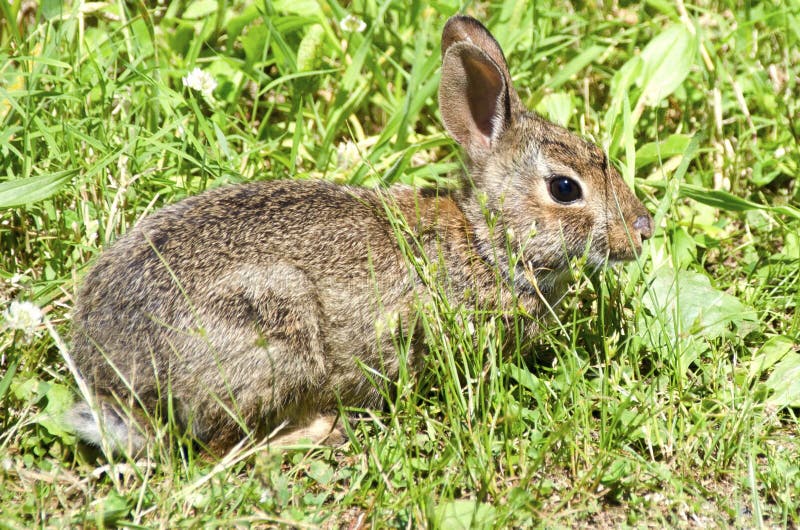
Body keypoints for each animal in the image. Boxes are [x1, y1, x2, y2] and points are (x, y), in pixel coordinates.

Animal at [66, 15, 653, 455]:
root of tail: (114, 383)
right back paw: (322, 428)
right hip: (274, 327)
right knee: (224, 447)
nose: (643, 230)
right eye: (564, 188)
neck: (486, 242)